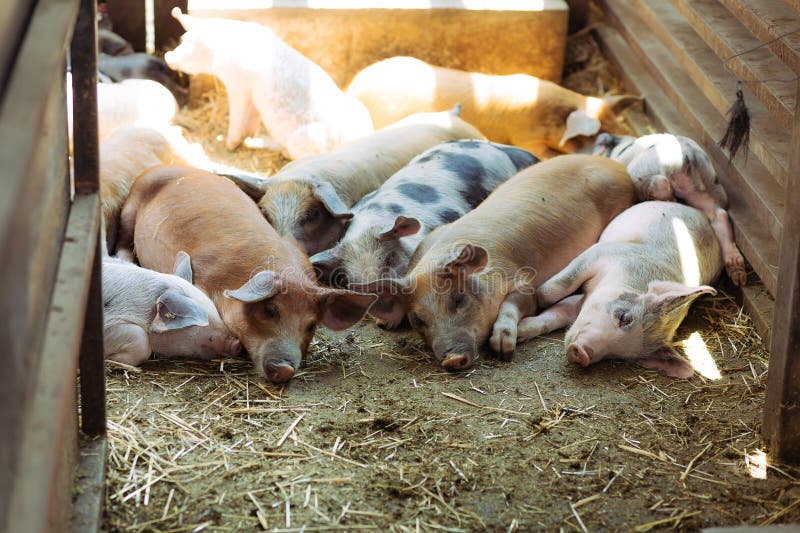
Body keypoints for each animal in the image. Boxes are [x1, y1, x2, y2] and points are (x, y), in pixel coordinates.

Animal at [164, 8, 373, 158]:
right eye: (183, 39)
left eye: (189, 42)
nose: (167, 56)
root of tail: (357, 142)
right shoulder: (254, 97)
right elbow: (253, 118)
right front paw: (248, 138)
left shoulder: (238, 83)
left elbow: (238, 115)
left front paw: (228, 144)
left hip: (308, 139)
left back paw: (282, 151)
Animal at [353, 155, 634, 369]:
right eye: (417, 320)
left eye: (458, 300)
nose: (452, 359)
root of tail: (618, 168)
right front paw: (384, 323)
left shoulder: (524, 280)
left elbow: (517, 303)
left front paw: (502, 349)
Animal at [517, 201, 723, 378]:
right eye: (624, 317)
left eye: (618, 356)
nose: (582, 354)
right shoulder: (603, 253)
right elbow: (553, 291)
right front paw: (532, 306)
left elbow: (557, 314)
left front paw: (518, 332)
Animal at [593, 133, 746, 286]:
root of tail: (688, 151)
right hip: (707, 188)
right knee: (720, 215)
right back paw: (738, 275)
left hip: (661, 173)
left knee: (661, 183)